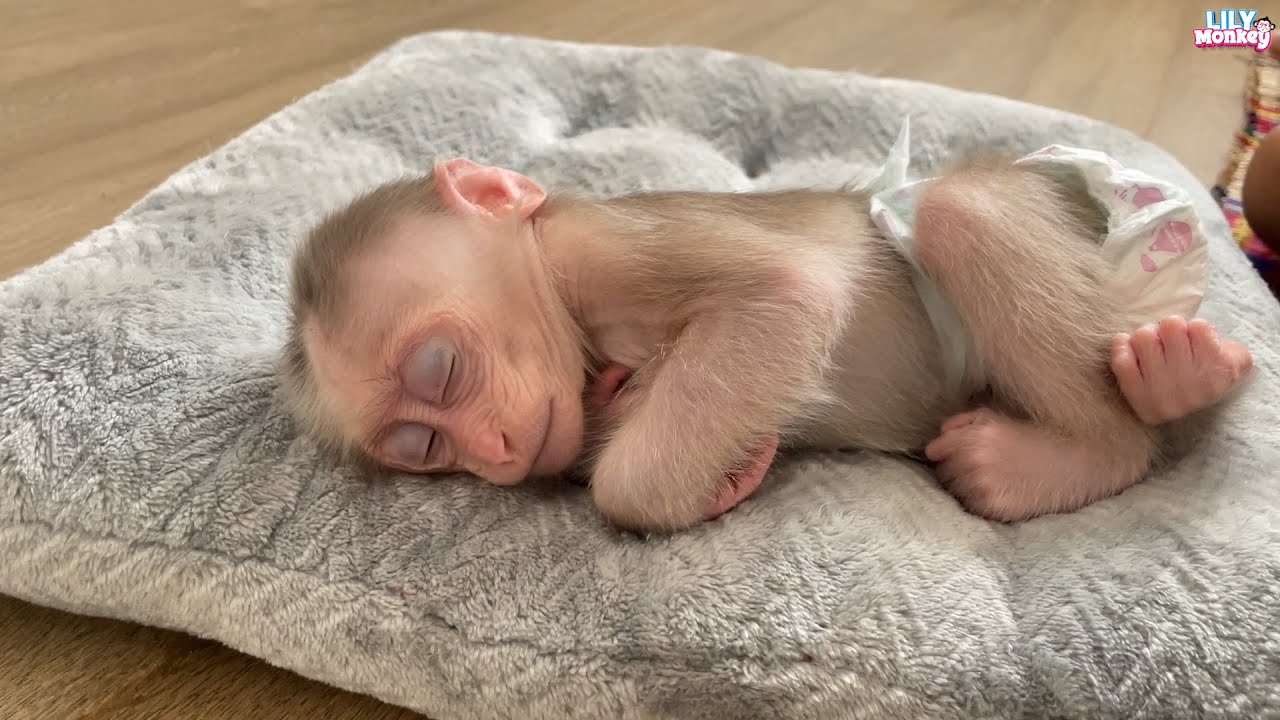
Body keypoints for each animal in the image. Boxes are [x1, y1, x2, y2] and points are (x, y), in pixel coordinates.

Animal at [280, 157, 1254, 532]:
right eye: (424, 446)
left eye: (440, 370)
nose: (496, 451)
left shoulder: (597, 253)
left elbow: (787, 293)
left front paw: (707, 475)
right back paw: (1175, 378)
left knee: (960, 210)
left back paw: (1089, 447)